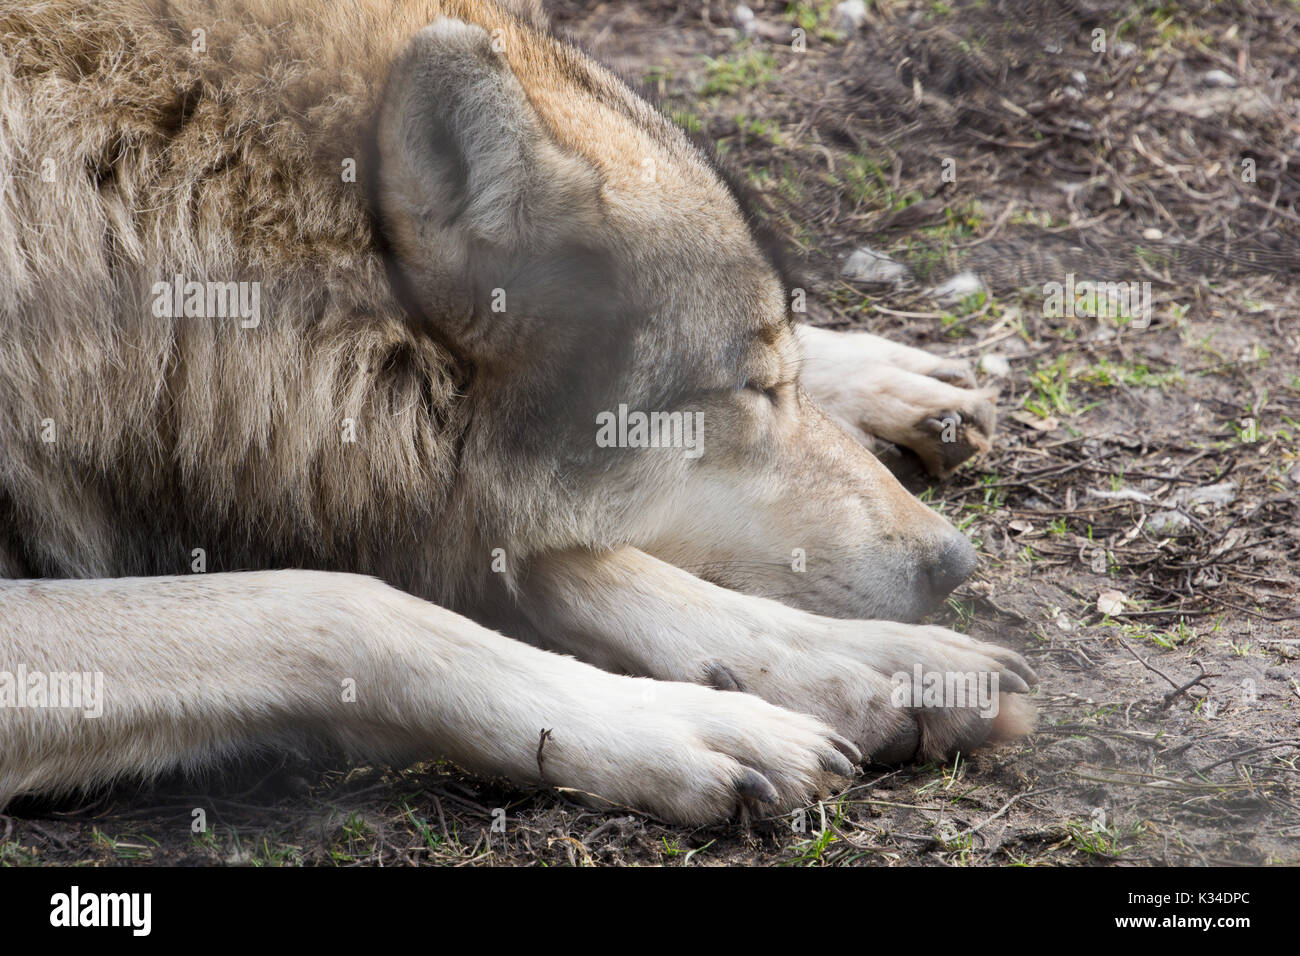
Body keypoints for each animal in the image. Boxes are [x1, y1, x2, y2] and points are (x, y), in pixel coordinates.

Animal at [0, 0, 1033, 824]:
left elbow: (545, 561)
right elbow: (344, 603)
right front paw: (685, 721)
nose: (955, 561)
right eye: (750, 388)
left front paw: (866, 667)